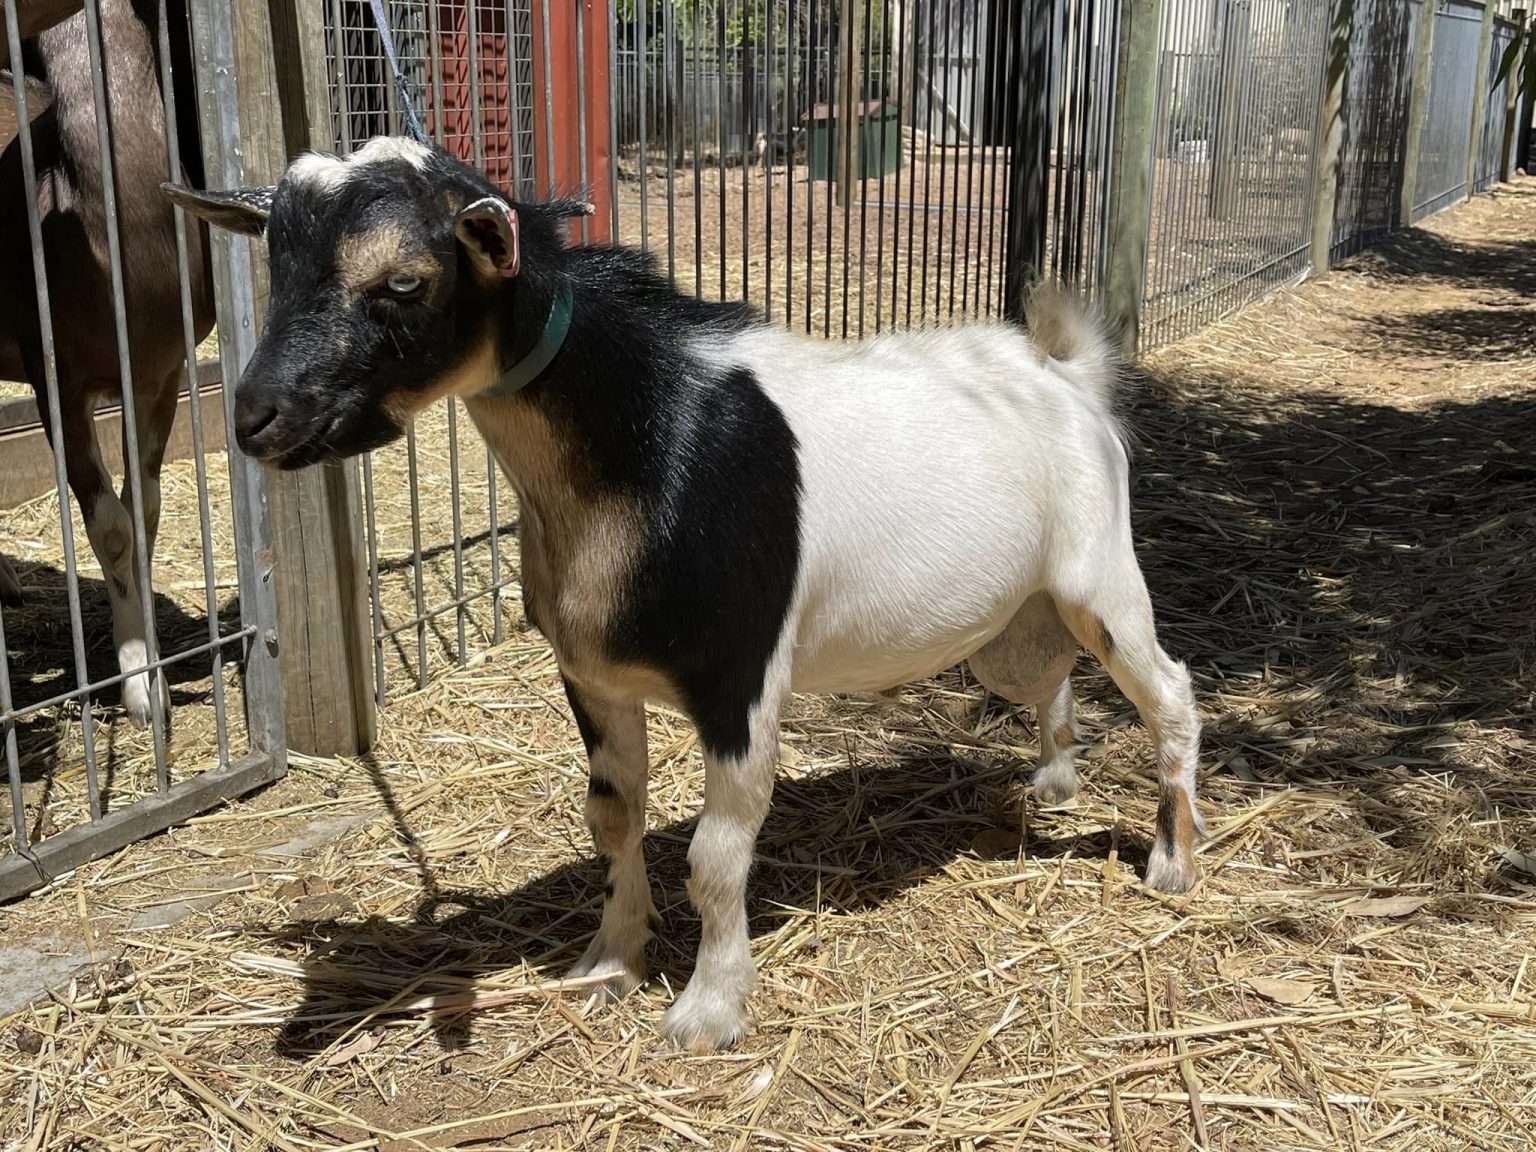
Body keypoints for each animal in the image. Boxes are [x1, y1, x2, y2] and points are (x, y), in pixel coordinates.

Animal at [166, 136, 1203, 1052]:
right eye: (275, 267)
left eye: (405, 281)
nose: (255, 418)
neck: (652, 431)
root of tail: (1065, 376)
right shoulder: (591, 672)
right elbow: (612, 818)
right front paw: (608, 961)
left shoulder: (739, 678)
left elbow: (715, 856)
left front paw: (708, 1010)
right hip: (1010, 623)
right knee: (1049, 672)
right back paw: (1057, 778)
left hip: (1101, 570)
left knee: (1171, 693)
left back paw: (1172, 861)